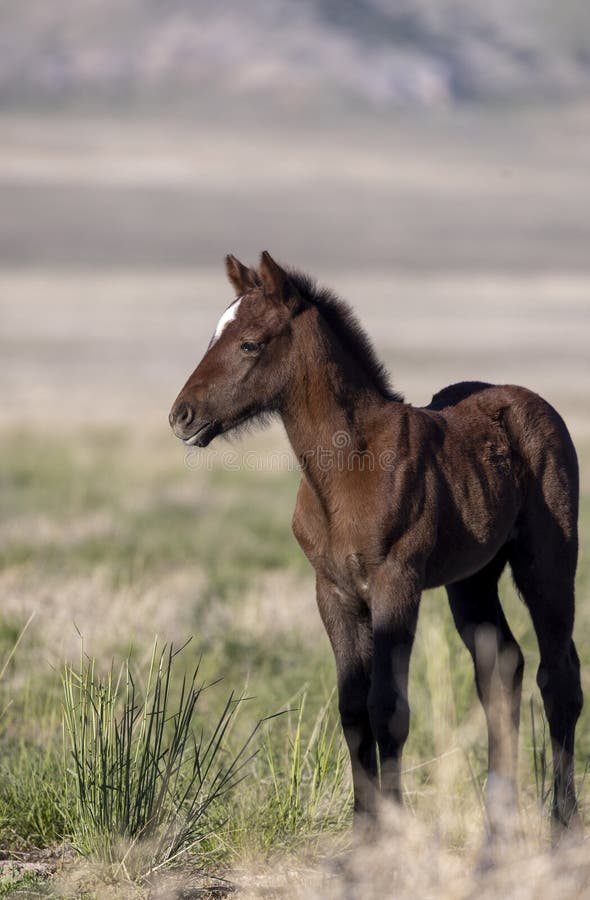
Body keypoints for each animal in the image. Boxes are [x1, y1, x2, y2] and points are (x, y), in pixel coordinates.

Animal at [169, 251, 583, 838]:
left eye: (249, 343)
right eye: (213, 334)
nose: (181, 416)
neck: (350, 465)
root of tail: (530, 400)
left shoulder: (396, 585)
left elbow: (387, 707)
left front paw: (391, 825)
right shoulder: (334, 593)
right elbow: (352, 709)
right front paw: (362, 828)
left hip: (547, 564)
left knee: (558, 676)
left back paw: (561, 819)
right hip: (472, 580)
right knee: (502, 667)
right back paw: (498, 819)